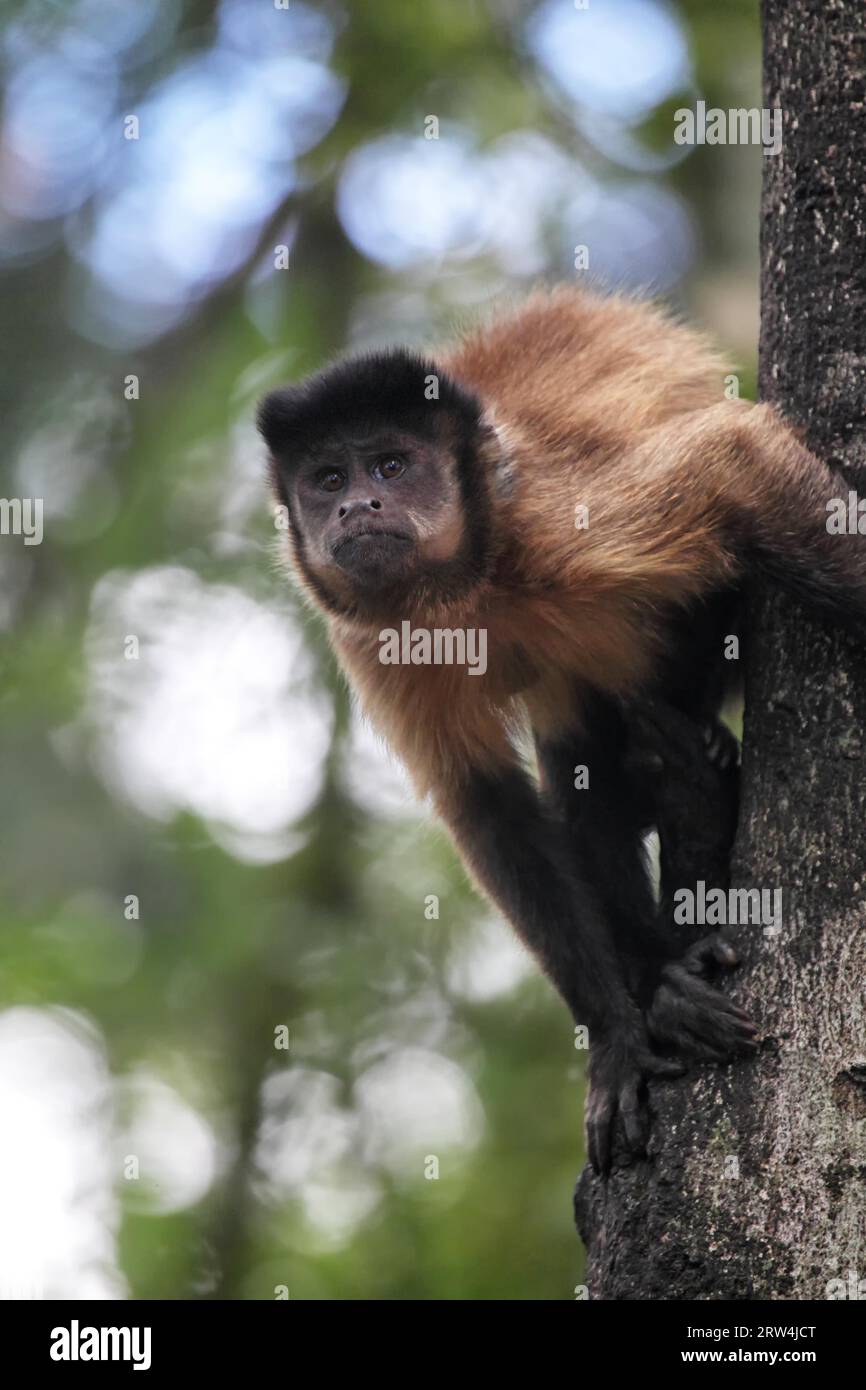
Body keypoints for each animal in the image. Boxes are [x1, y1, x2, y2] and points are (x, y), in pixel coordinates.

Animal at [257, 287, 866, 1174]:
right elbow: (490, 810)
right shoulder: (366, 637)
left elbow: (730, 454)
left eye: (392, 467)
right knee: (581, 751)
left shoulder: (552, 518)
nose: (354, 506)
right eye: (327, 477)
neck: (468, 589)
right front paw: (619, 1031)